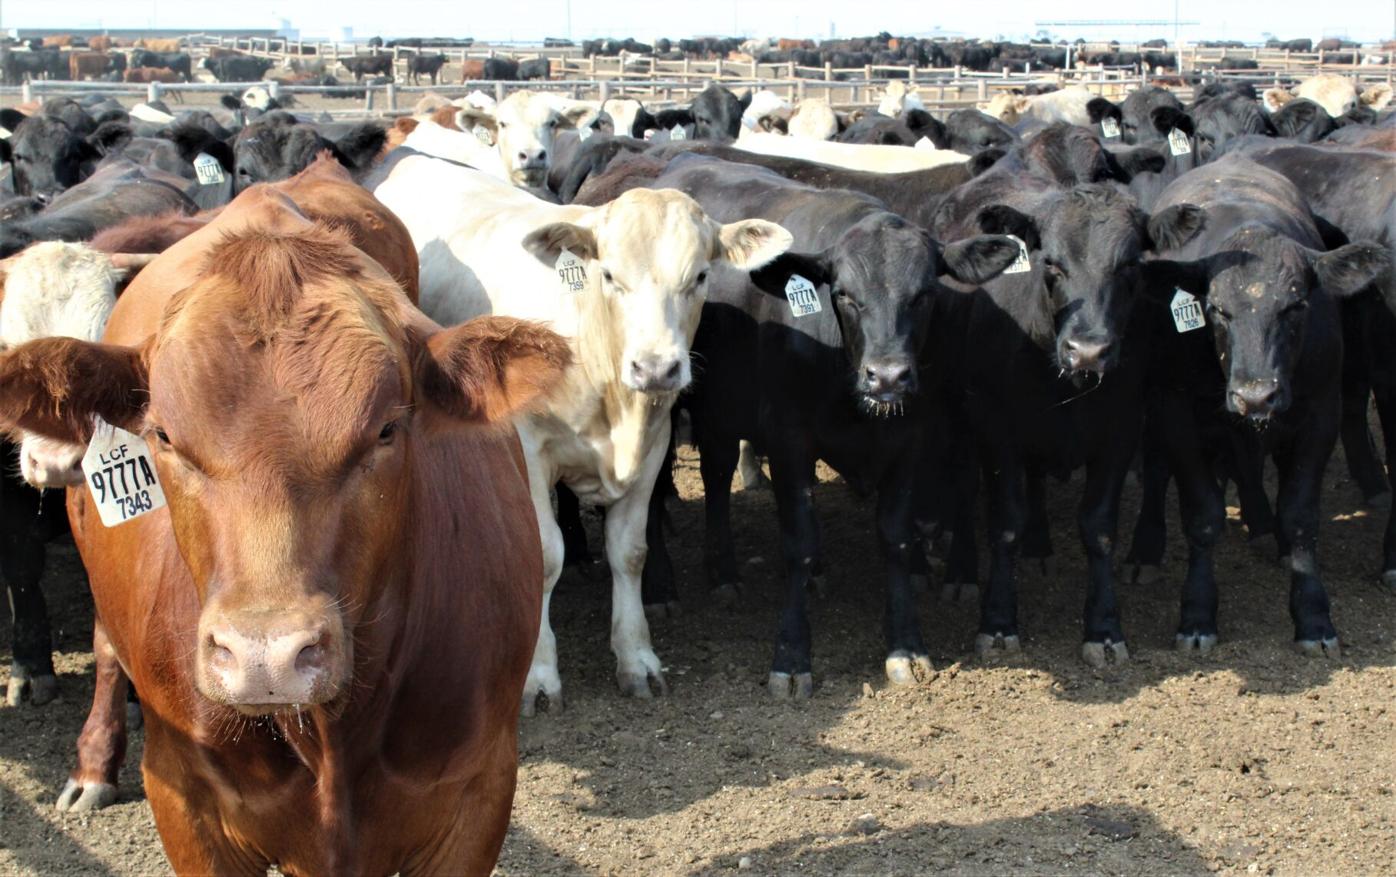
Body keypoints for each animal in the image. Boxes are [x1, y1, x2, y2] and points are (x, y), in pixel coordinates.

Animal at [372, 153, 792, 712]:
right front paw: (539, 675)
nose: (655, 368)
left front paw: (637, 658)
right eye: (608, 274)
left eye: (701, 275)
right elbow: (545, 555)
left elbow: (630, 553)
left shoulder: (654, 447)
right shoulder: (527, 451)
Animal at [1134, 155, 1387, 655]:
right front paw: (1197, 615)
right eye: (1216, 308)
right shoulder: (1177, 416)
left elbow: (1301, 515)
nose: (1256, 395)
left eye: (1296, 305)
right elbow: (1204, 515)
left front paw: (1313, 616)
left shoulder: (1320, 415)